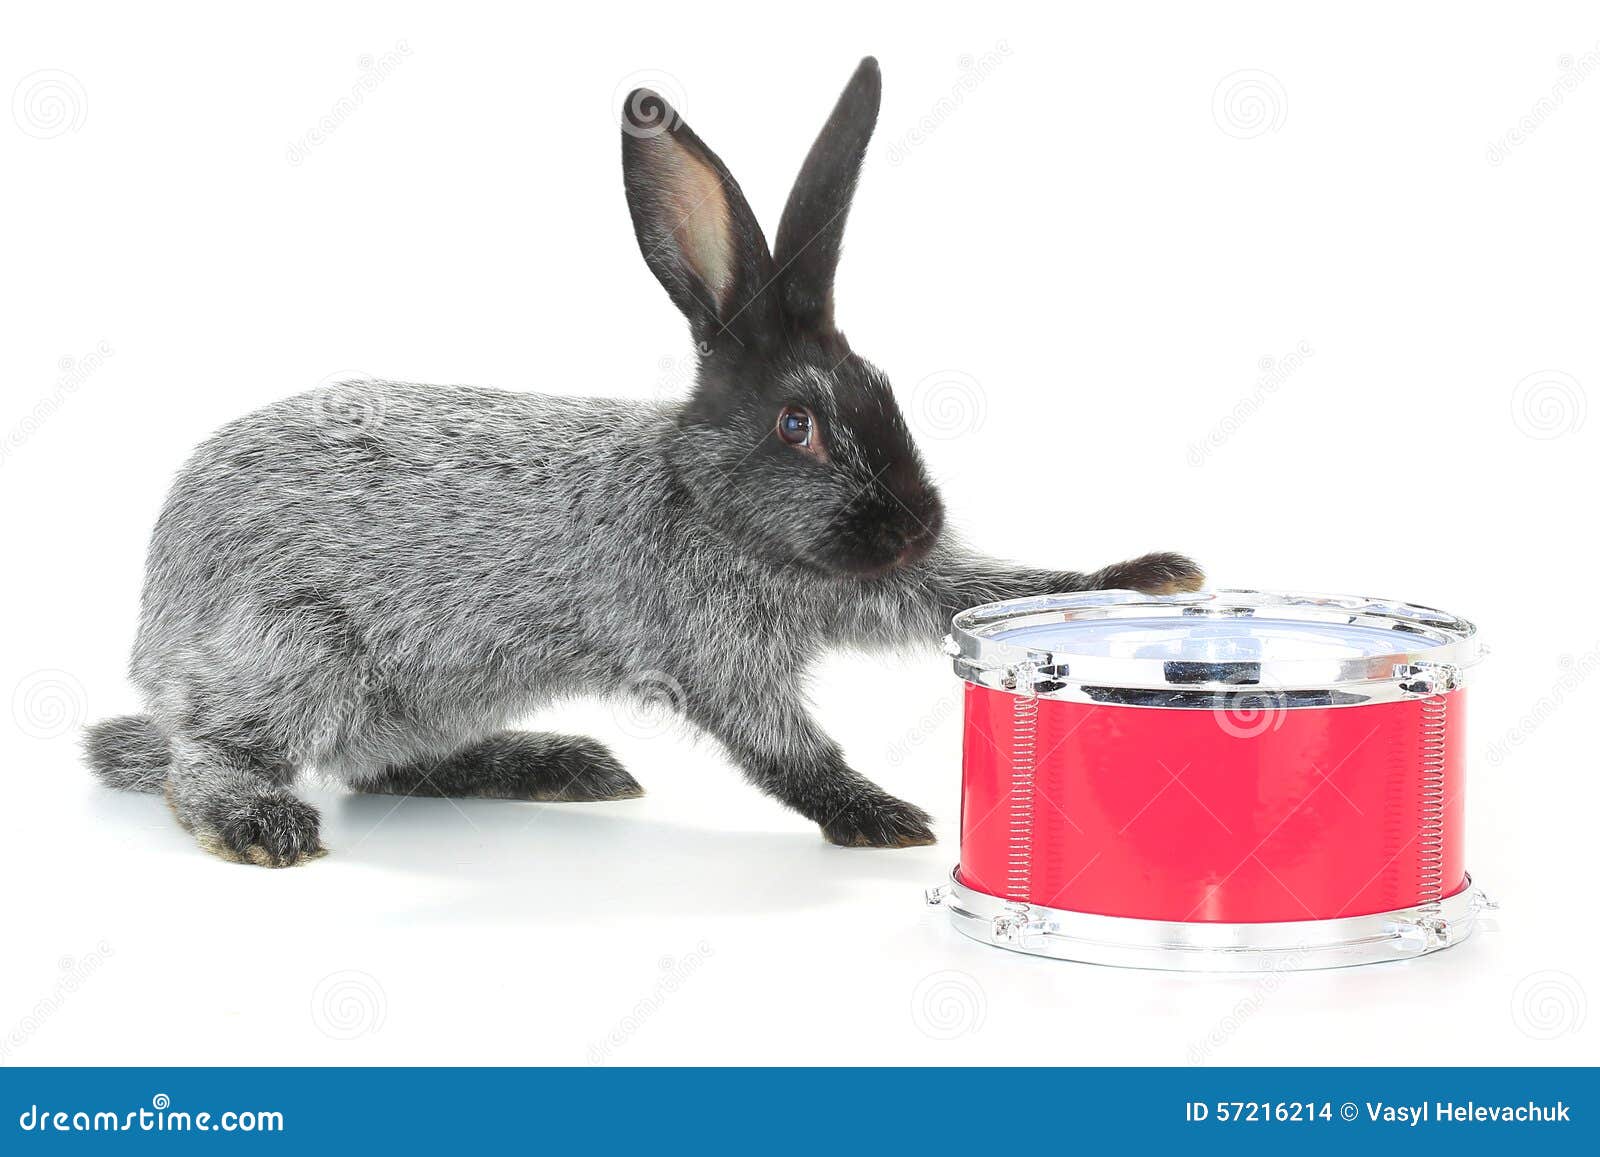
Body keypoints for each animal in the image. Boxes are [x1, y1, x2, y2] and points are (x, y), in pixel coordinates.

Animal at [82, 57, 1203, 866]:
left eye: (883, 392)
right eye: (797, 424)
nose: (913, 527)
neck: (706, 503)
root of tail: (152, 634)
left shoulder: (864, 586)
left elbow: (975, 590)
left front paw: (1152, 576)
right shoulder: (715, 650)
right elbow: (784, 746)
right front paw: (879, 815)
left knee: (376, 765)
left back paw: (555, 763)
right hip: (297, 652)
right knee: (212, 759)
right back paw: (258, 825)